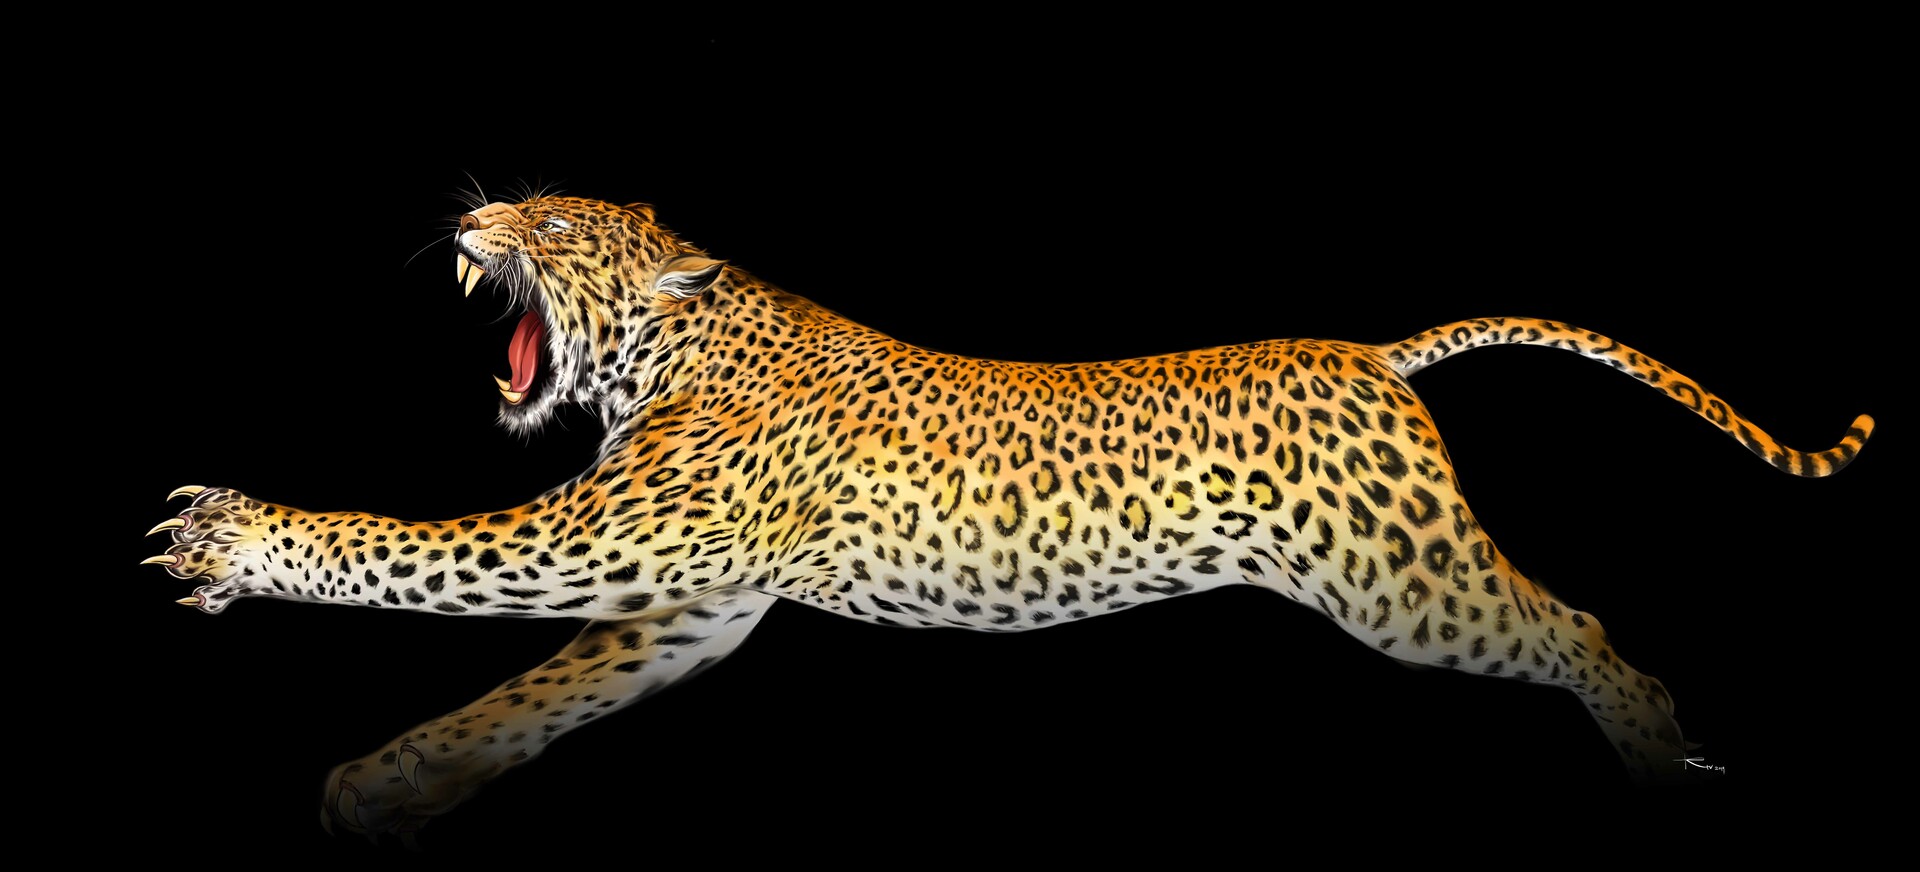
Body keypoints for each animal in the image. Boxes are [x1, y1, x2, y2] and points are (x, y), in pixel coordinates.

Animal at [143, 195, 1873, 838]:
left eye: (553, 230)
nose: (466, 223)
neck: (677, 344)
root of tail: (1371, 351)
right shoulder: (697, 601)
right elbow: (537, 694)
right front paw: (394, 785)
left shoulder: (622, 536)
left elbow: (409, 550)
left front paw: (225, 536)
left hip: (1401, 582)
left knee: (1567, 620)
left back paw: (1651, 751)